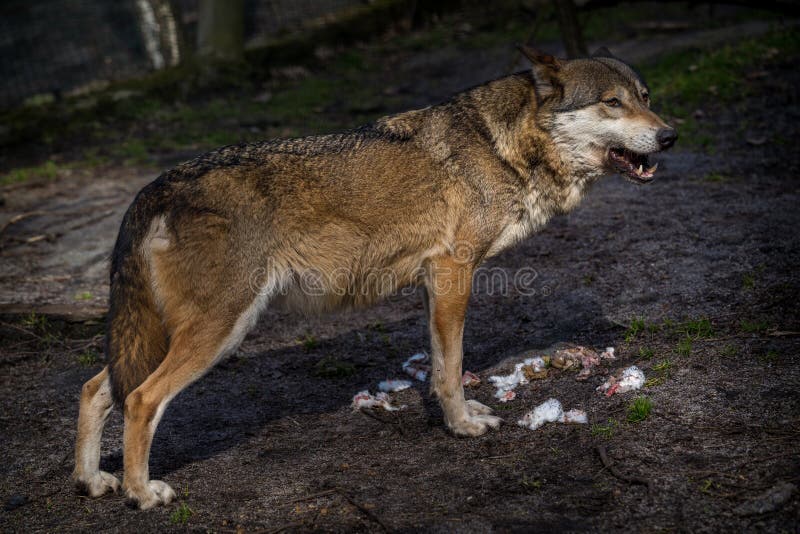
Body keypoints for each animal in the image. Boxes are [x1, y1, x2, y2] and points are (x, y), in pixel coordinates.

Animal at [72, 47, 676, 509]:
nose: (670, 136)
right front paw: (463, 427)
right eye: (612, 102)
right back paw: (141, 494)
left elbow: (439, 365)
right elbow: (452, 367)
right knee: (141, 399)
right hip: (220, 331)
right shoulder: (454, 272)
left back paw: (93, 481)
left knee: (96, 389)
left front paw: (461, 414)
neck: (502, 145)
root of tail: (156, 186)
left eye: (646, 97)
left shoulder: (435, 283)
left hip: (162, 336)